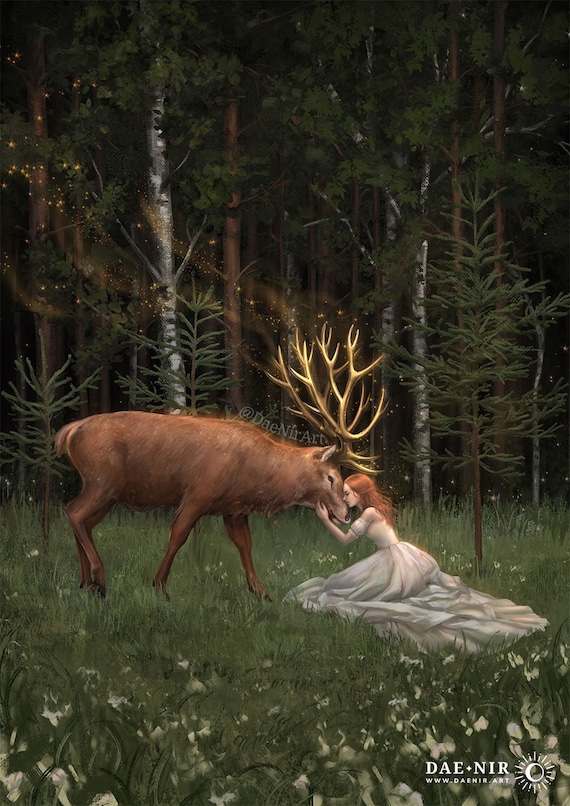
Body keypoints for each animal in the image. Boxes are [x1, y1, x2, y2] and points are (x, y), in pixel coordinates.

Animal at [55, 325, 384, 601]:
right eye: (331, 477)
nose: (345, 514)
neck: (255, 476)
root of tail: (68, 432)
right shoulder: (199, 491)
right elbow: (178, 535)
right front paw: (159, 586)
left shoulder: (233, 509)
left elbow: (245, 546)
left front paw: (261, 594)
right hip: (101, 478)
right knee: (74, 513)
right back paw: (99, 580)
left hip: (108, 491)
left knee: (82, 520)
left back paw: (85, 583)